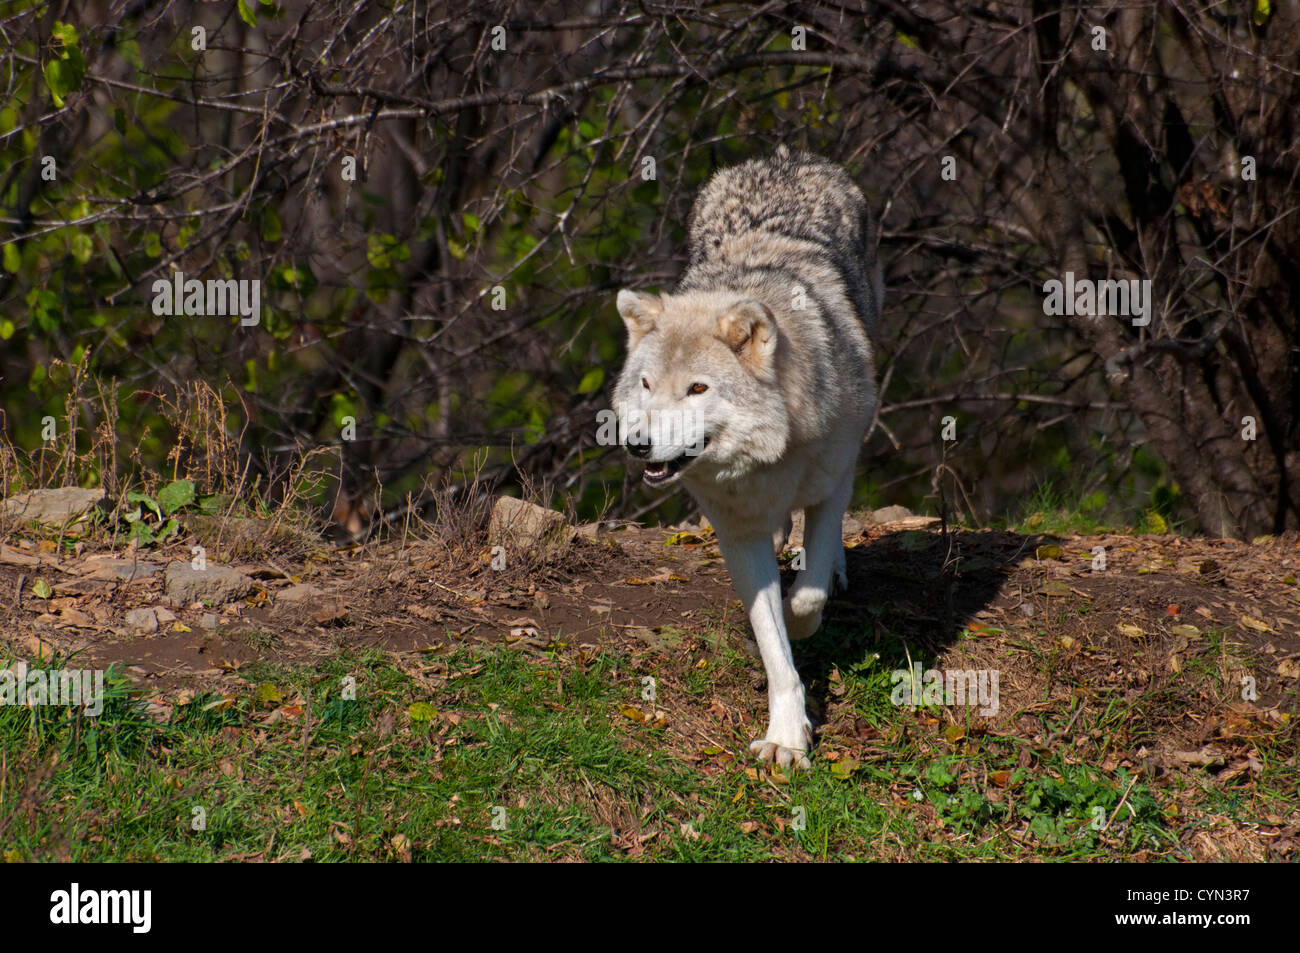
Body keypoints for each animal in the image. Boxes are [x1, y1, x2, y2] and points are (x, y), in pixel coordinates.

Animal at [612, 147, 882, 770]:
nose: (637, 444)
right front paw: (786, 736)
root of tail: (784, 156)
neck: (769, 456)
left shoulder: (831, 482)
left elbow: (806, 596)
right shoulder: (735, 530)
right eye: (645, 385)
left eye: (697, 389)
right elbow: (773, 644)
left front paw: (804, 609)